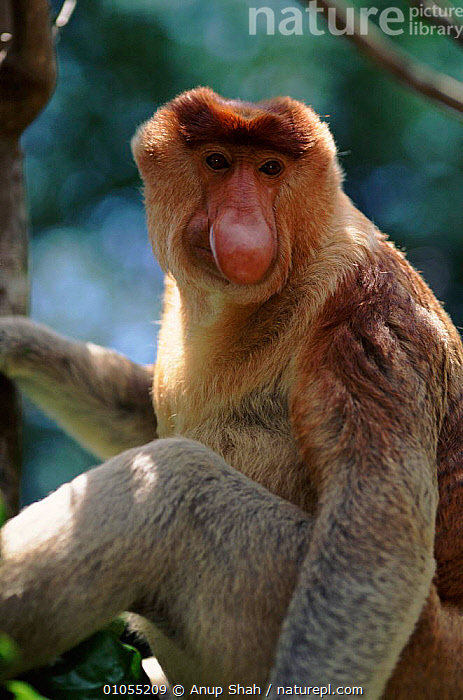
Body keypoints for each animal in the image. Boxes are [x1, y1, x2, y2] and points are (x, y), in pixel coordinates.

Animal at [0, 87, 462, 698]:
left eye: (270, 169)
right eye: (218, 162)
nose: (242, 223)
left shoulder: (366, 321)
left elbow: (375, 537)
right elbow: (141, 415)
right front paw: (11, 340)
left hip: (412, 654)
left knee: (180, 488)